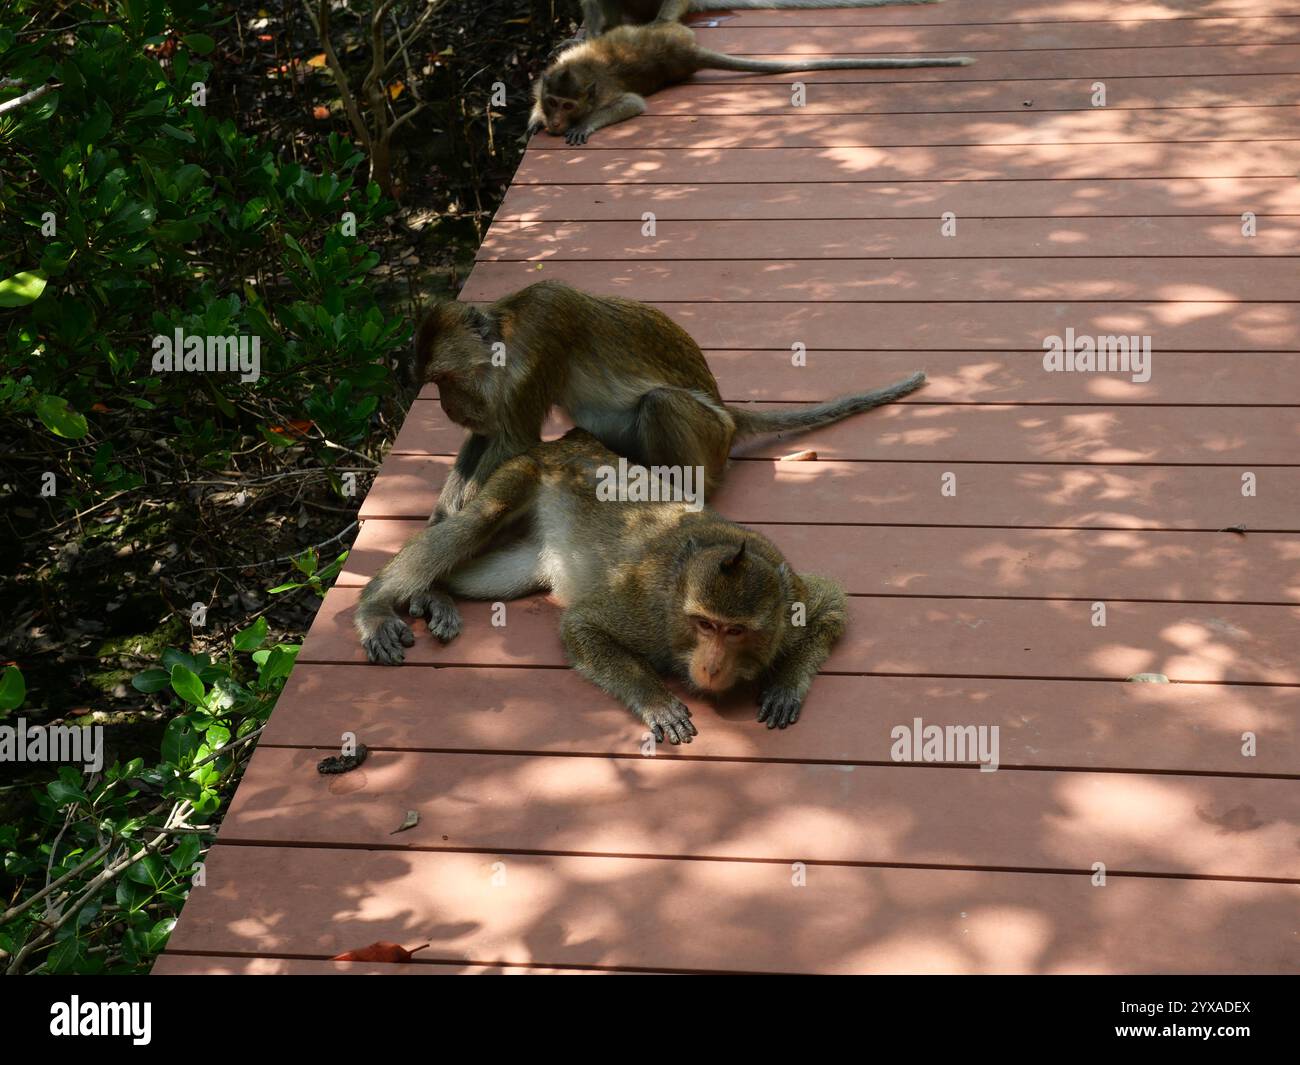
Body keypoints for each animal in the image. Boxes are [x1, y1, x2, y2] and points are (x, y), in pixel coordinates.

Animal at [355, 429, 847, 744]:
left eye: (735, 631)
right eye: (705, 625)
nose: (710, 666)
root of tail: (573, 440)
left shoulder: (793, 597)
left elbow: (835, 604)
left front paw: (786, 683)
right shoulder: (648, 611)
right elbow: (581, 625)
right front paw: (656, 699)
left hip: (539, 550)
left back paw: (436, 591)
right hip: (525, 470)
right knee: (477, 521)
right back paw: (376, 607)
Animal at [415, 281, 926, 521]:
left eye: (444, 380)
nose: (445, 407)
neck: (510, 331)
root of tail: (728, 417)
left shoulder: (543, 338)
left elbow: (512, 439)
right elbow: (489, 435)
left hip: (710, 435)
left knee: (661, 403)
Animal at [532, 15, 972, 143]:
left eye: (568, 106)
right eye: (554, 102)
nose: (556, 119)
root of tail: (685, 52)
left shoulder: (605, 90)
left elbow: (630, 103)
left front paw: (582, 125)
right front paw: (536, 117)